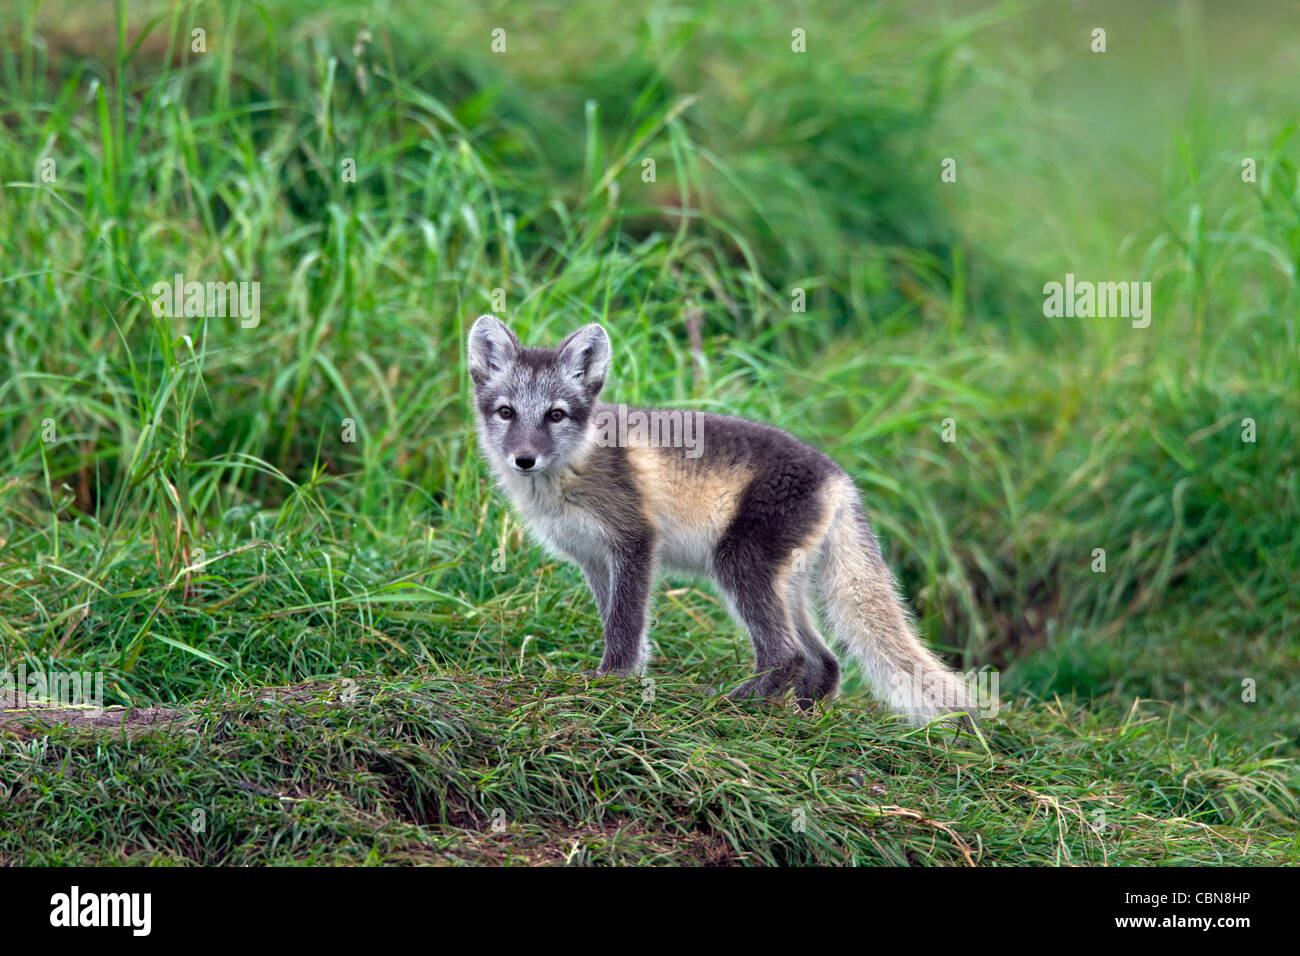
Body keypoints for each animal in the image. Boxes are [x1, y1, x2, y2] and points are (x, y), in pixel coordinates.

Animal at [467, 314, 975, 723]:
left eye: (556, 415)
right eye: (506, 412)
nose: (524, 459)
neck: (573, 468)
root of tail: (838, 478)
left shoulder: (635, 541)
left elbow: (625, 624)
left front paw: (612, 681)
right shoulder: (593, 559)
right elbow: (620, 621)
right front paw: (629, 676)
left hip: (738, 564)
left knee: (788, 654)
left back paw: (734, 703)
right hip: (785, 583)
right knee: (825, 662)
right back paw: (803, 720)